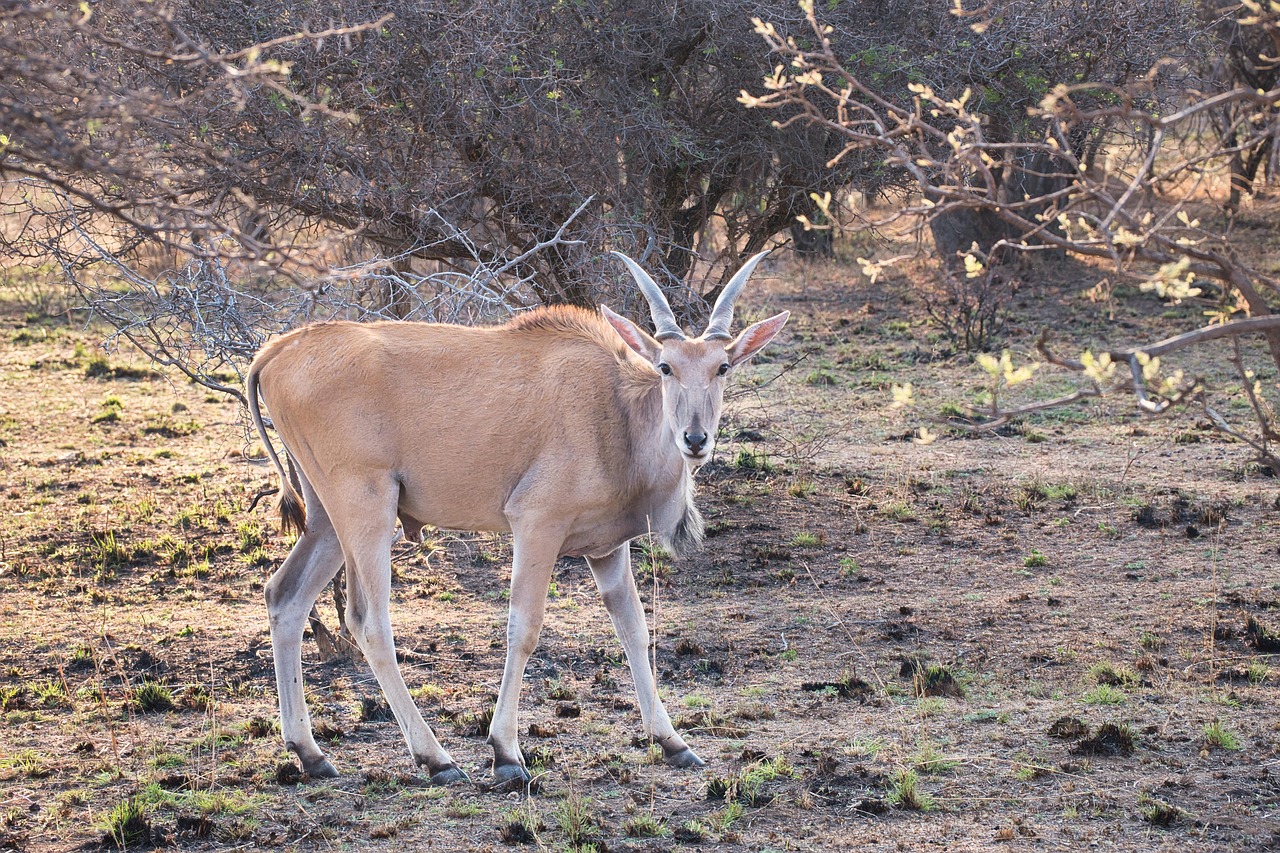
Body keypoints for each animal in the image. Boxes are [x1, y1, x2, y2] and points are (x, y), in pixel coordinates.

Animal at [247, 251, 788, 788]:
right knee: (368, 620)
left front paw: (673, 742)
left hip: (326, 520)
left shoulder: (607, 550)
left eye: (722, 367)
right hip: (366, 509)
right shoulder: (536, 524)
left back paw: (310, 753)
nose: (695, 439)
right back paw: (436, 759)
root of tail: (277, 350)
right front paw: (506, 752)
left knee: (285, 596)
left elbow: (634, 629)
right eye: (666, 367)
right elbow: (523, 628)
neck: (616, 410)